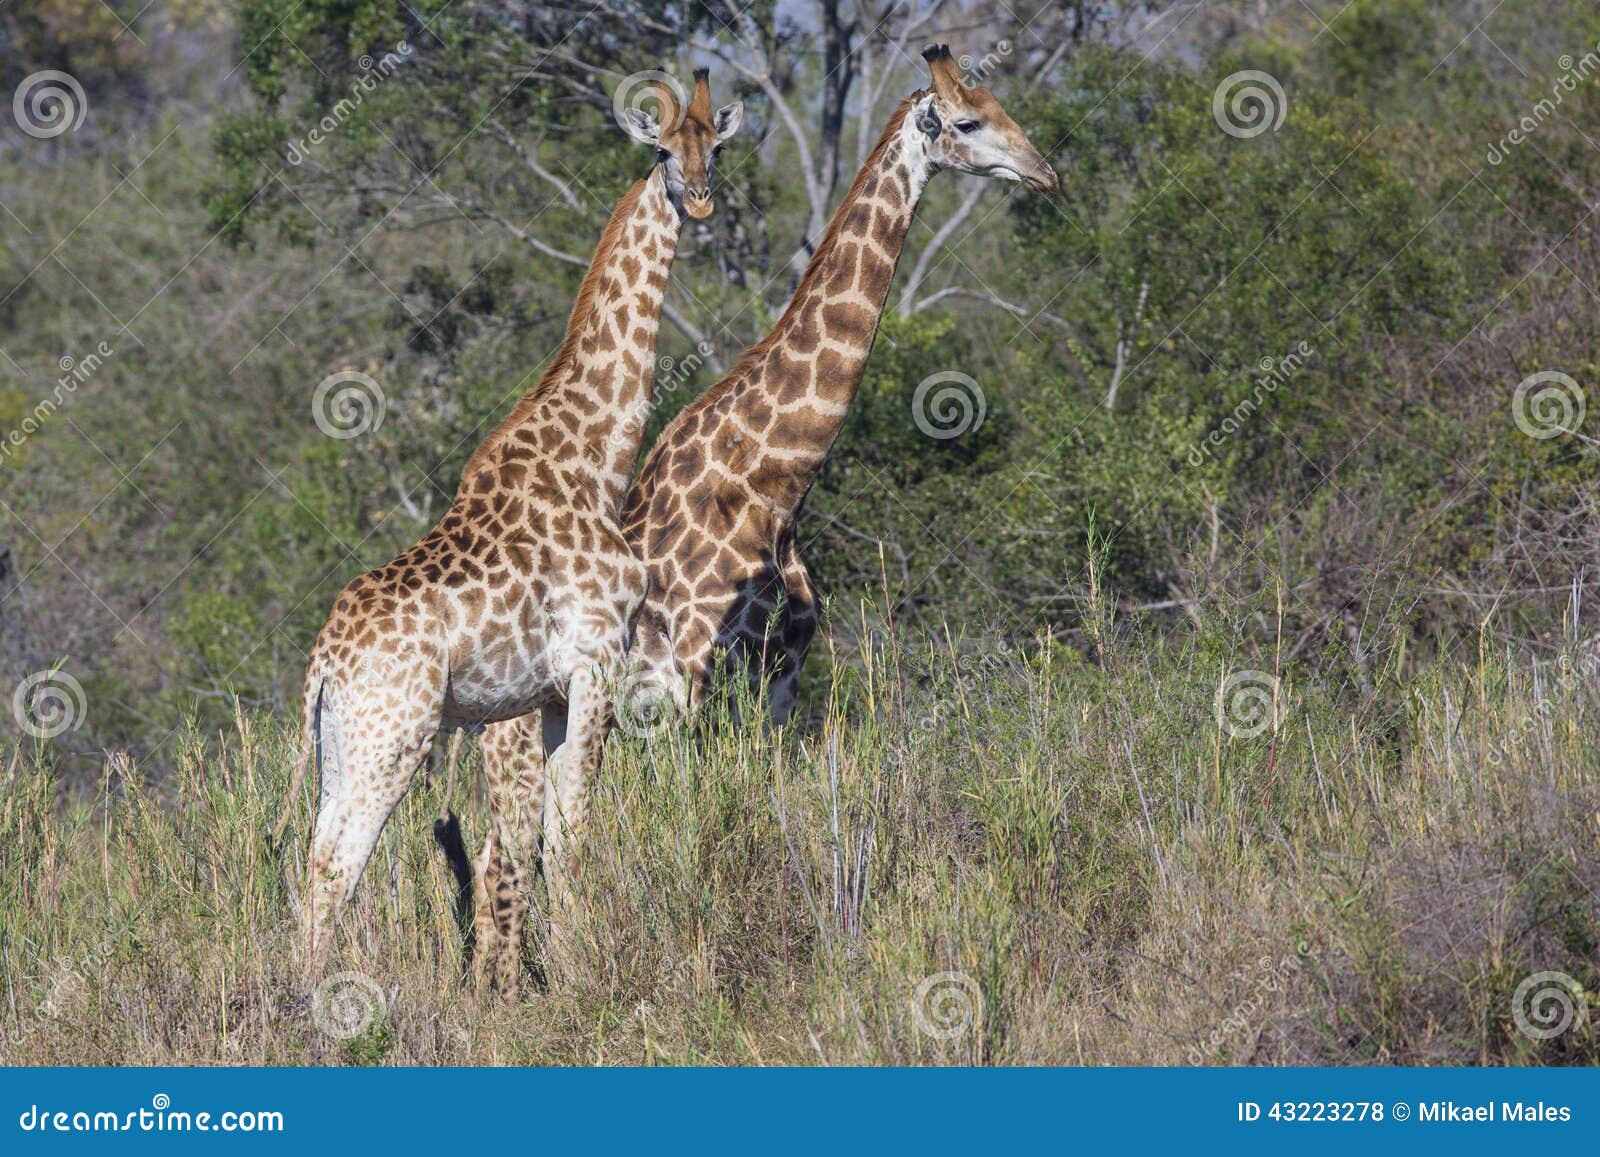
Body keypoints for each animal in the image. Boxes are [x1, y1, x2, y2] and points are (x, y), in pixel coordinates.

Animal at [276, 70, 743, 995]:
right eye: (664, 151)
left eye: (718, 145)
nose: (704, 199)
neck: (596, 455)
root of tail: (324, 660)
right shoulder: (596, 663)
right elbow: (571, 836)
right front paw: (582, 978)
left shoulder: (551, 695)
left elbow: (542, 840)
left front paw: (549, 973)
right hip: (394, 740)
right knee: (339, 868)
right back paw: (321, 1004)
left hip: (342, 743)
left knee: (317, 859)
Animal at [618, 45, 1057, 723]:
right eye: (968, 123)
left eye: (1000, 105)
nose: (1046, 173)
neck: (773, 491)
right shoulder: (689, 664)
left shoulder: (785, 669)